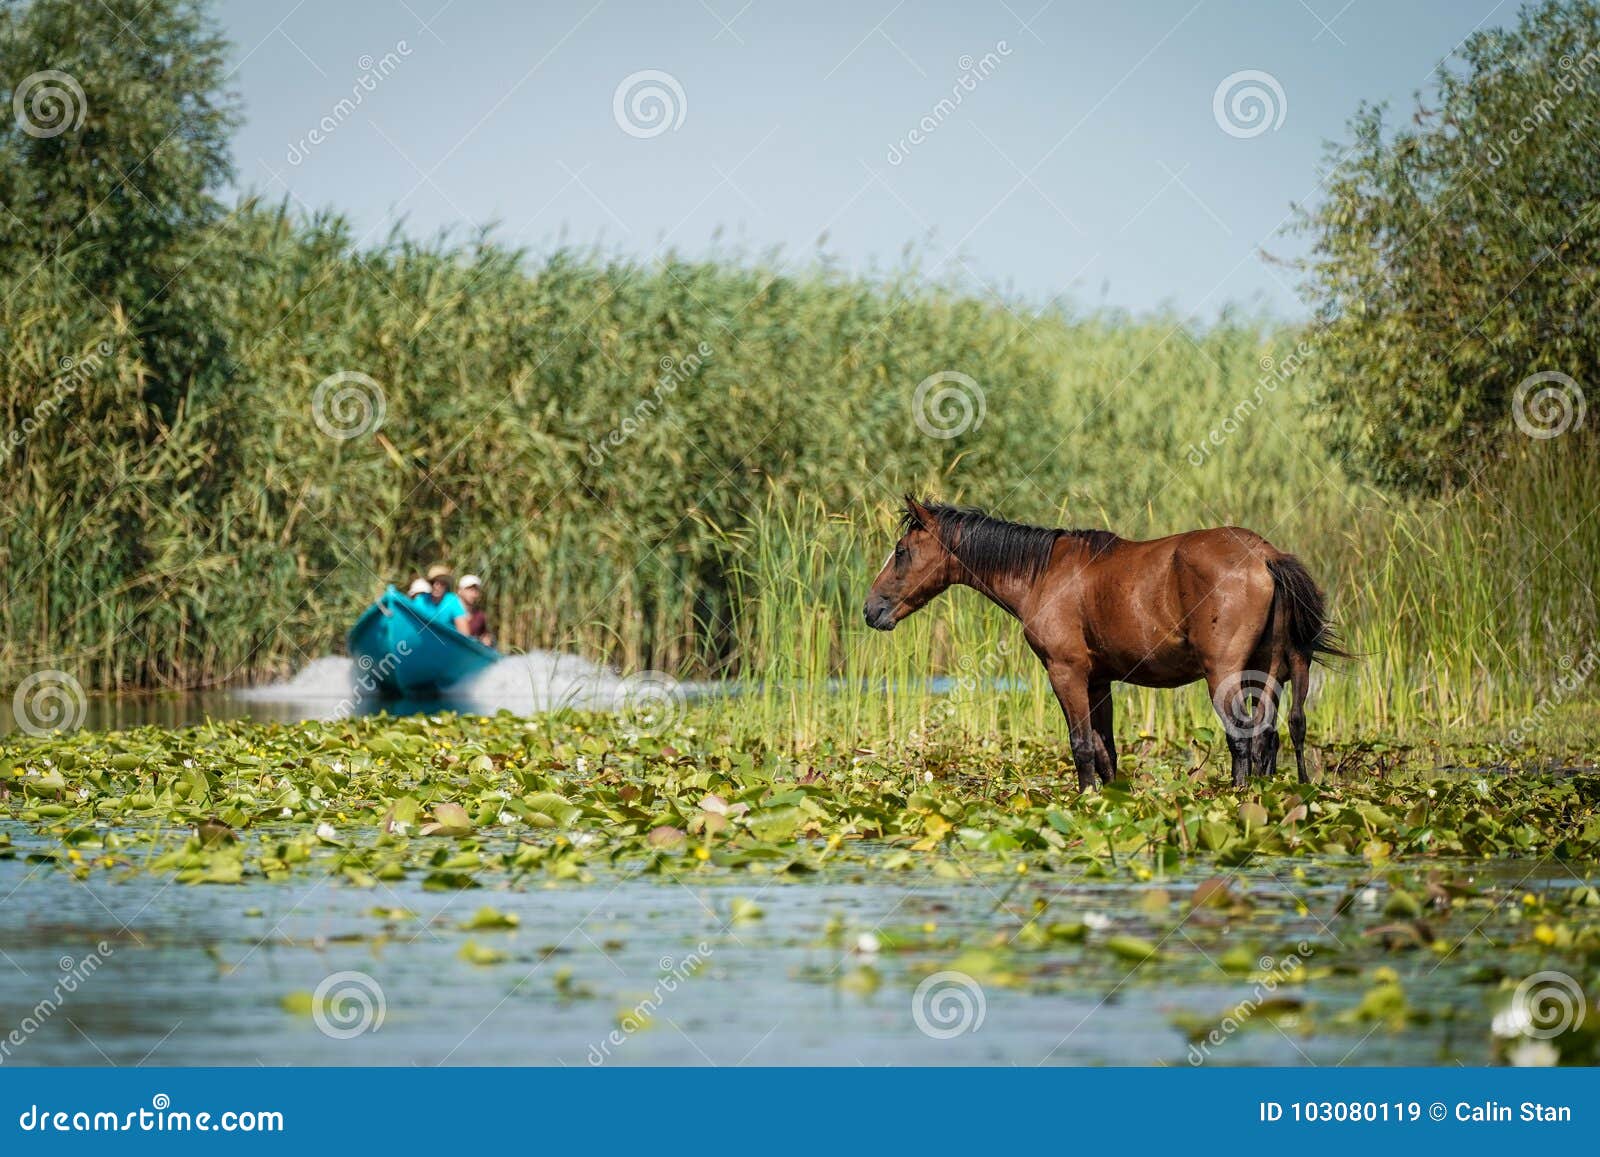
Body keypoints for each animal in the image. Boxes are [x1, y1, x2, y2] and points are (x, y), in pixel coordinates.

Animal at [863, 496, 1347, 790]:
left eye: (902, 551)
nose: (871, 610)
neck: (1042, 574)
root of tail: (1265, 555)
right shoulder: (1099, 682)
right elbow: (1105, 751)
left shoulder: (1066, 673)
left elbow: (1080, 746)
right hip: (1271, 672)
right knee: (1270, 735)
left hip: (1226, 675)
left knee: (1244, 737)